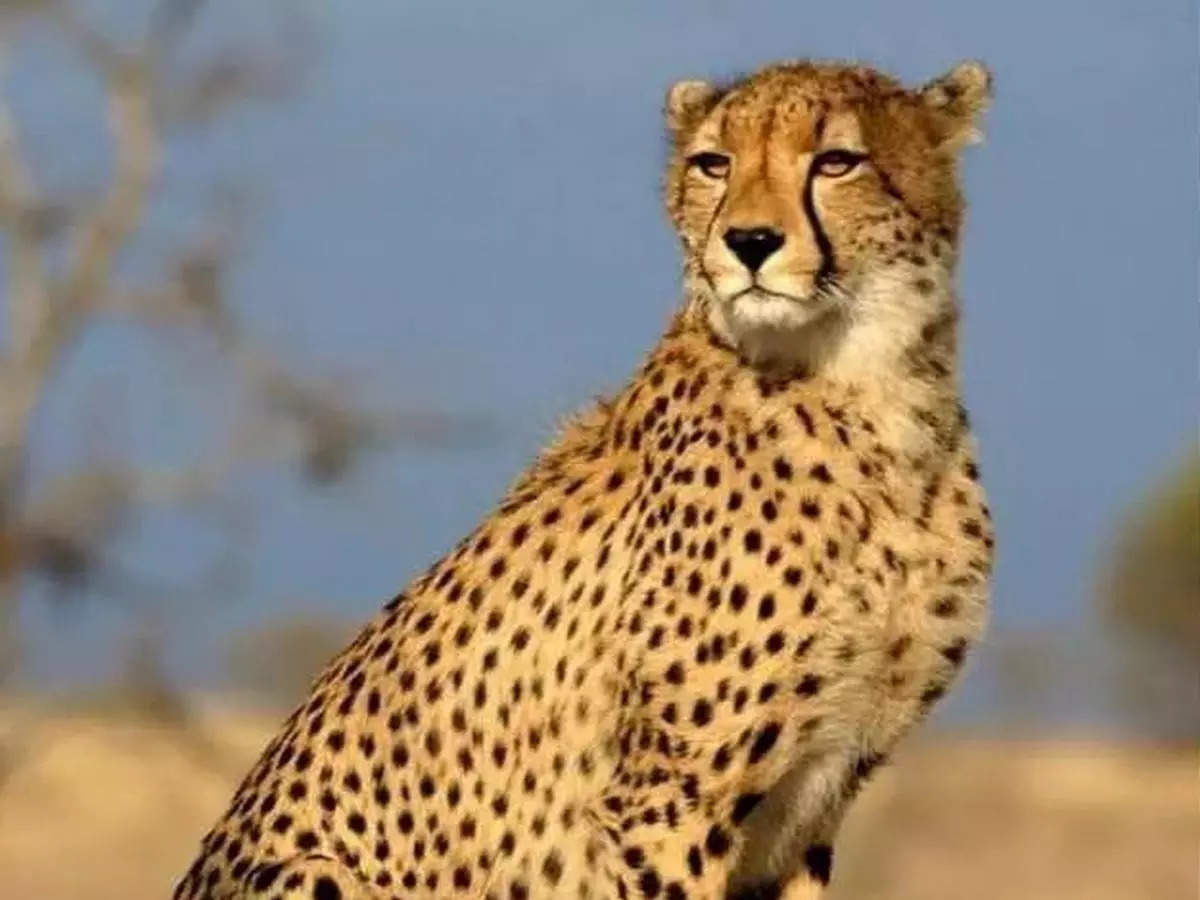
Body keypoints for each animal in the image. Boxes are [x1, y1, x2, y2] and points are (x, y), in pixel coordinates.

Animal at [174, 56, 996, 900]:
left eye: (836, 162)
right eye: (715, 164)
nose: (749, 242)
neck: (872, 392)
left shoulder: (817, 799)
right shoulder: (669, 800)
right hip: (312, 869)